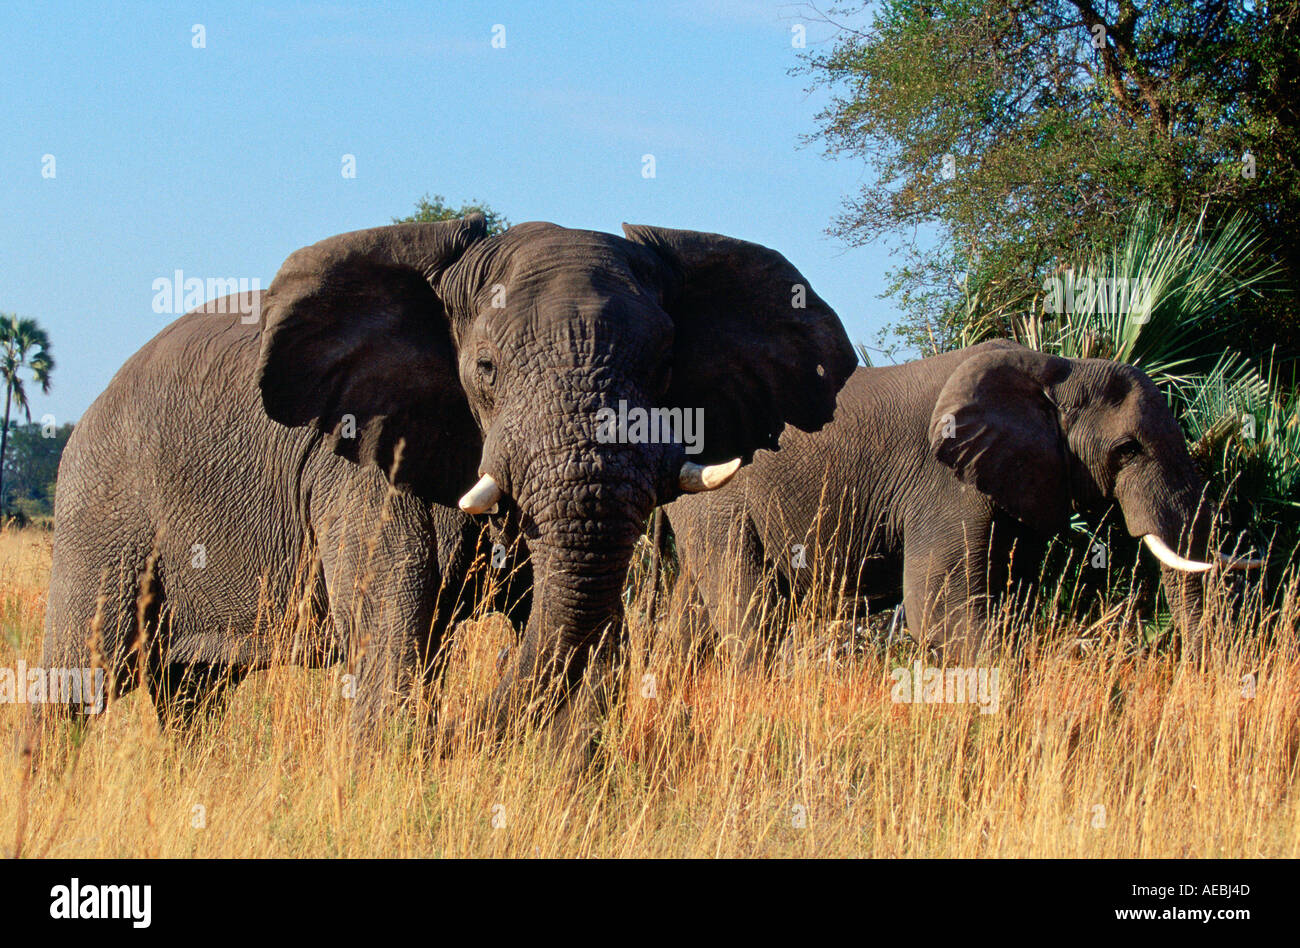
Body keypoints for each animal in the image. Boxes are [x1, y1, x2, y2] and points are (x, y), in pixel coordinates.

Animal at [40, 215, 856, 746]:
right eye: (485, 368)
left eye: (661, 368)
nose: (472, 723)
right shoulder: (363, 465)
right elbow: (393, 630)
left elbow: (589, 649)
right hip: (101, 496)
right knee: (80, 681)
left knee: (192, 694)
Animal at [664, 339, 1259, 662]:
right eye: (1127, 450)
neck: (1060, 368)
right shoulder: (945, 484)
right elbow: (939, 606)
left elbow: (1011, 601)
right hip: (720, 500)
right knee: (751, 613)